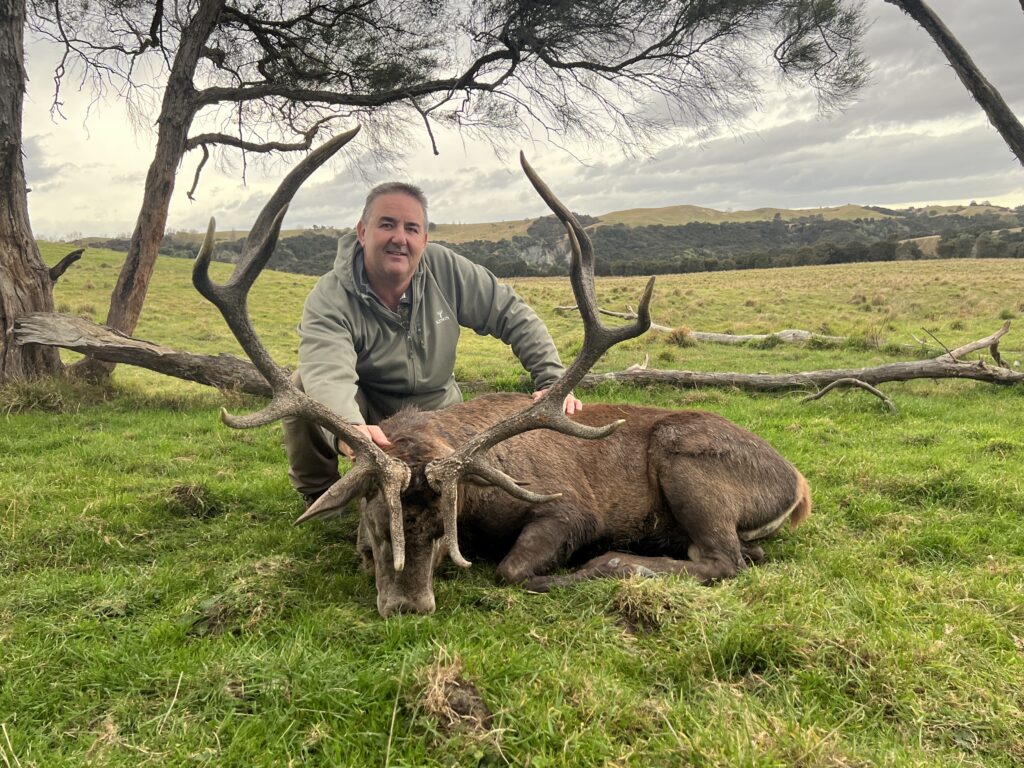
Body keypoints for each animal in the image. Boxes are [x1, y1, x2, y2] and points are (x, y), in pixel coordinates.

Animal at [193, 126, 812, 617]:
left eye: (443, 529)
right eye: (375, 521)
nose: (408, 607)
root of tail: (799, 486)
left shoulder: (569, 506)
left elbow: (512, 569)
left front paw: (570, 569)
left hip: (686, 460)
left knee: (720, 559)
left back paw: (619, 561)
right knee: (737, 554)